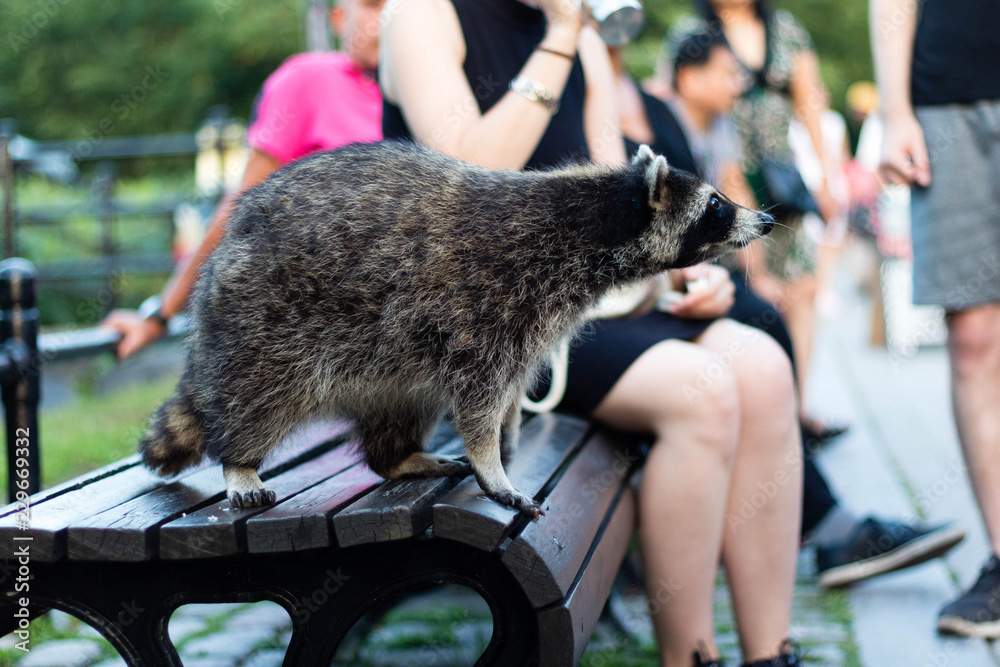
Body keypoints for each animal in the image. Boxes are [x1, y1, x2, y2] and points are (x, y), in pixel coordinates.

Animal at [139, 140, 773, 517]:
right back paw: (241, 459)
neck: (587, 217)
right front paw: (491, 459)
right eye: (716, 204)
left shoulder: (535, 317)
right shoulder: (485, 304)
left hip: (382, 359)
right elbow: (479, 399)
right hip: (265, 320)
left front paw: (510, 433)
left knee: (400, 404)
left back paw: (397, 456)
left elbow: (510, 390)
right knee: (260, 395)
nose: (765, 218)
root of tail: (219, 256)